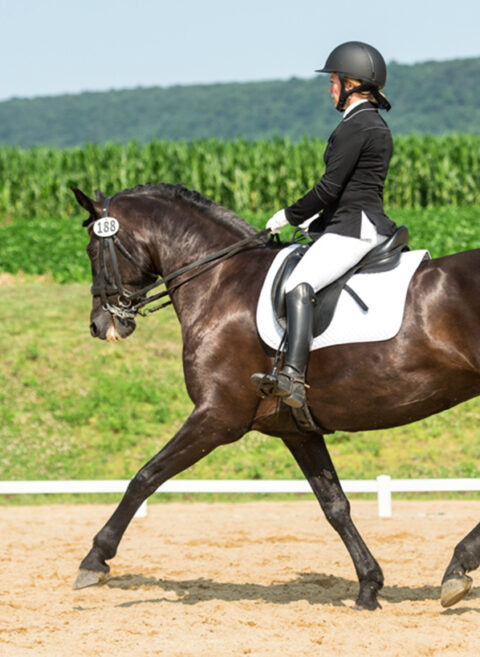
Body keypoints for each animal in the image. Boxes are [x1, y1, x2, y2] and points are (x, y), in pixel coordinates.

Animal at [71, 182, 480, 610]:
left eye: (92, 250)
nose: (99, 324)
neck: (219, 282)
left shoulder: (218, 417)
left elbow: (145, 477)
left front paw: (94, 560)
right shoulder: (297, 431)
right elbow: (335, 506)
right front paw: (369, 585)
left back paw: (458, 566)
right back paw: (457, 570)